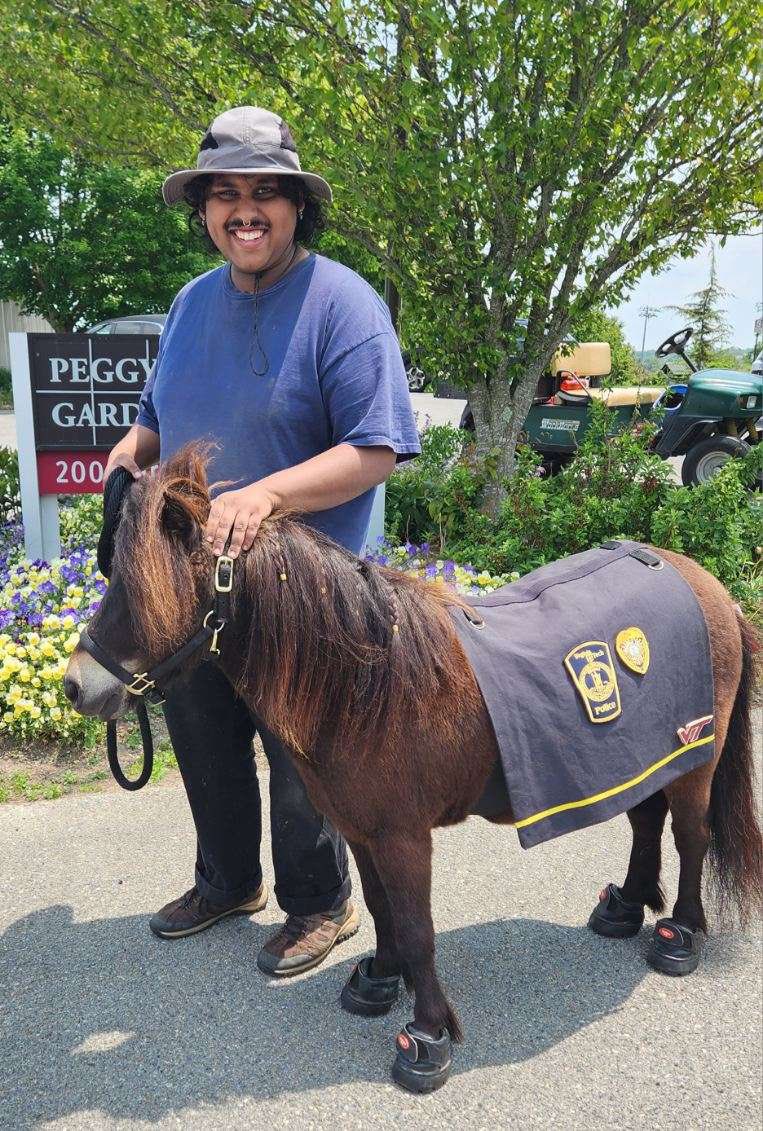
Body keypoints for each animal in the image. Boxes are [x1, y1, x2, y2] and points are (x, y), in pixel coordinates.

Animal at [64, 446, 762, 1093]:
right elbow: (380, 907)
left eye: (143, 593)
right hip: (641, 756)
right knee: (646, 821)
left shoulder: (403, 836)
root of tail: (709, 586)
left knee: (691, 836)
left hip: (695, 753)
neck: (372, 679)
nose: (76, 685)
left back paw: (680, 935)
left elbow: (420, 928)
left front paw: (427, 1038)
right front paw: (378, 978)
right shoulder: (360, 828)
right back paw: (627, 907)